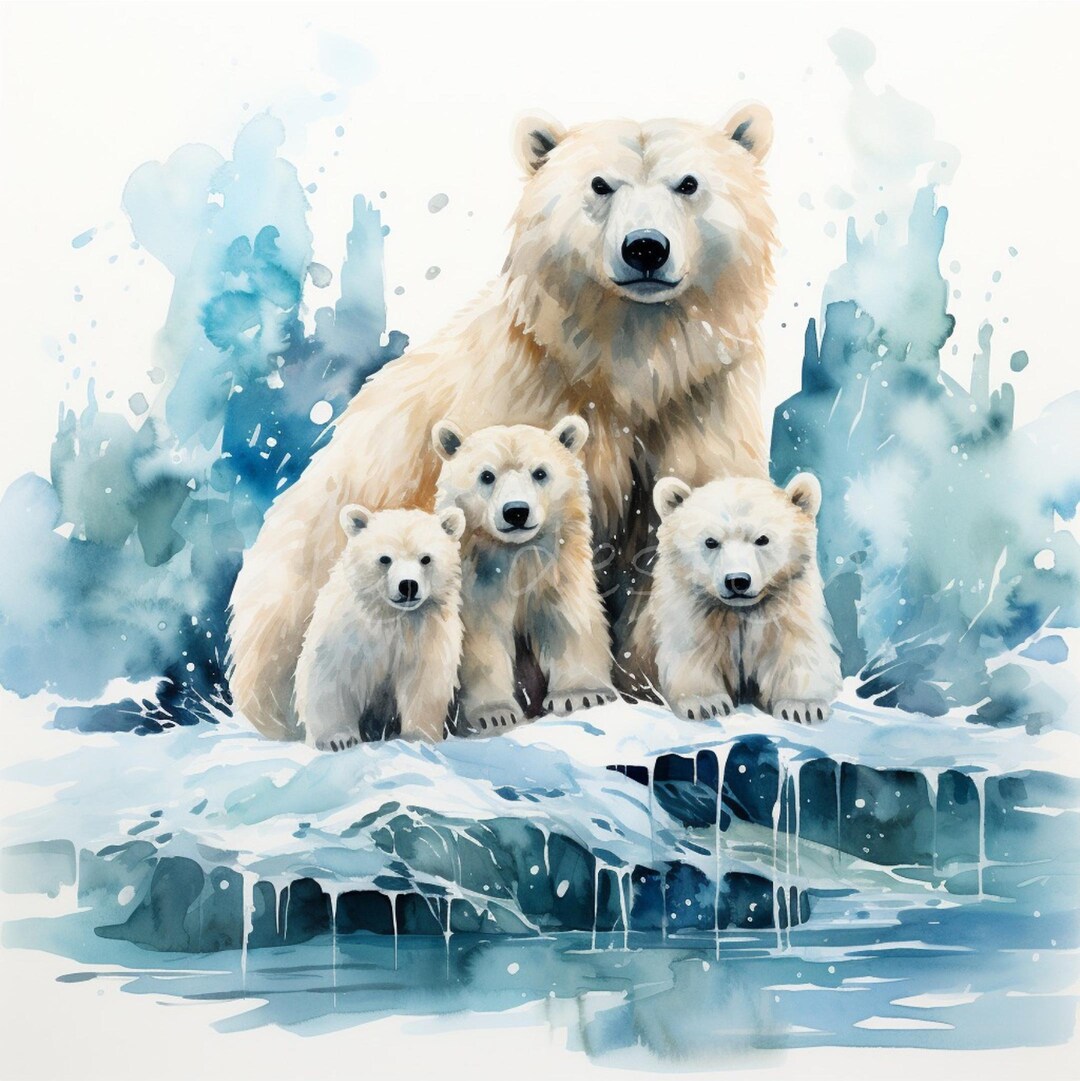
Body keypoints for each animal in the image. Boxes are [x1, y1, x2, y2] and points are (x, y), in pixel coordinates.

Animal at [294, 504, 466, 749]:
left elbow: (424, 684)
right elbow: (331, 678)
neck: (392, 618)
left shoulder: (426, 635)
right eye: (385, 559)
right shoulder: (348, 635)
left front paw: (417, 736)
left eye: (425, 559)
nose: (408, 586)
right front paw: (338, 739)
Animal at [433, 415, 616, 732]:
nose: (516, 511)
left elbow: (568, 621)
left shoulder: (557, 572)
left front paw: (580, 695)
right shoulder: (477, 585)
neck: (517, 557)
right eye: (487, 476)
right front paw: (494, 714)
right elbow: (483, 641)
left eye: (540, 472)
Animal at [643, 473, 841, 725]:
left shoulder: (788, 604)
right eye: (711, 541)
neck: (740, 611)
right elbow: (692, 648)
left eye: (762, 539)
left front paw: (802, 706)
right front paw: (706, 703)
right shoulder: (693, 606)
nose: (737, 580)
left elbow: (797, 648)